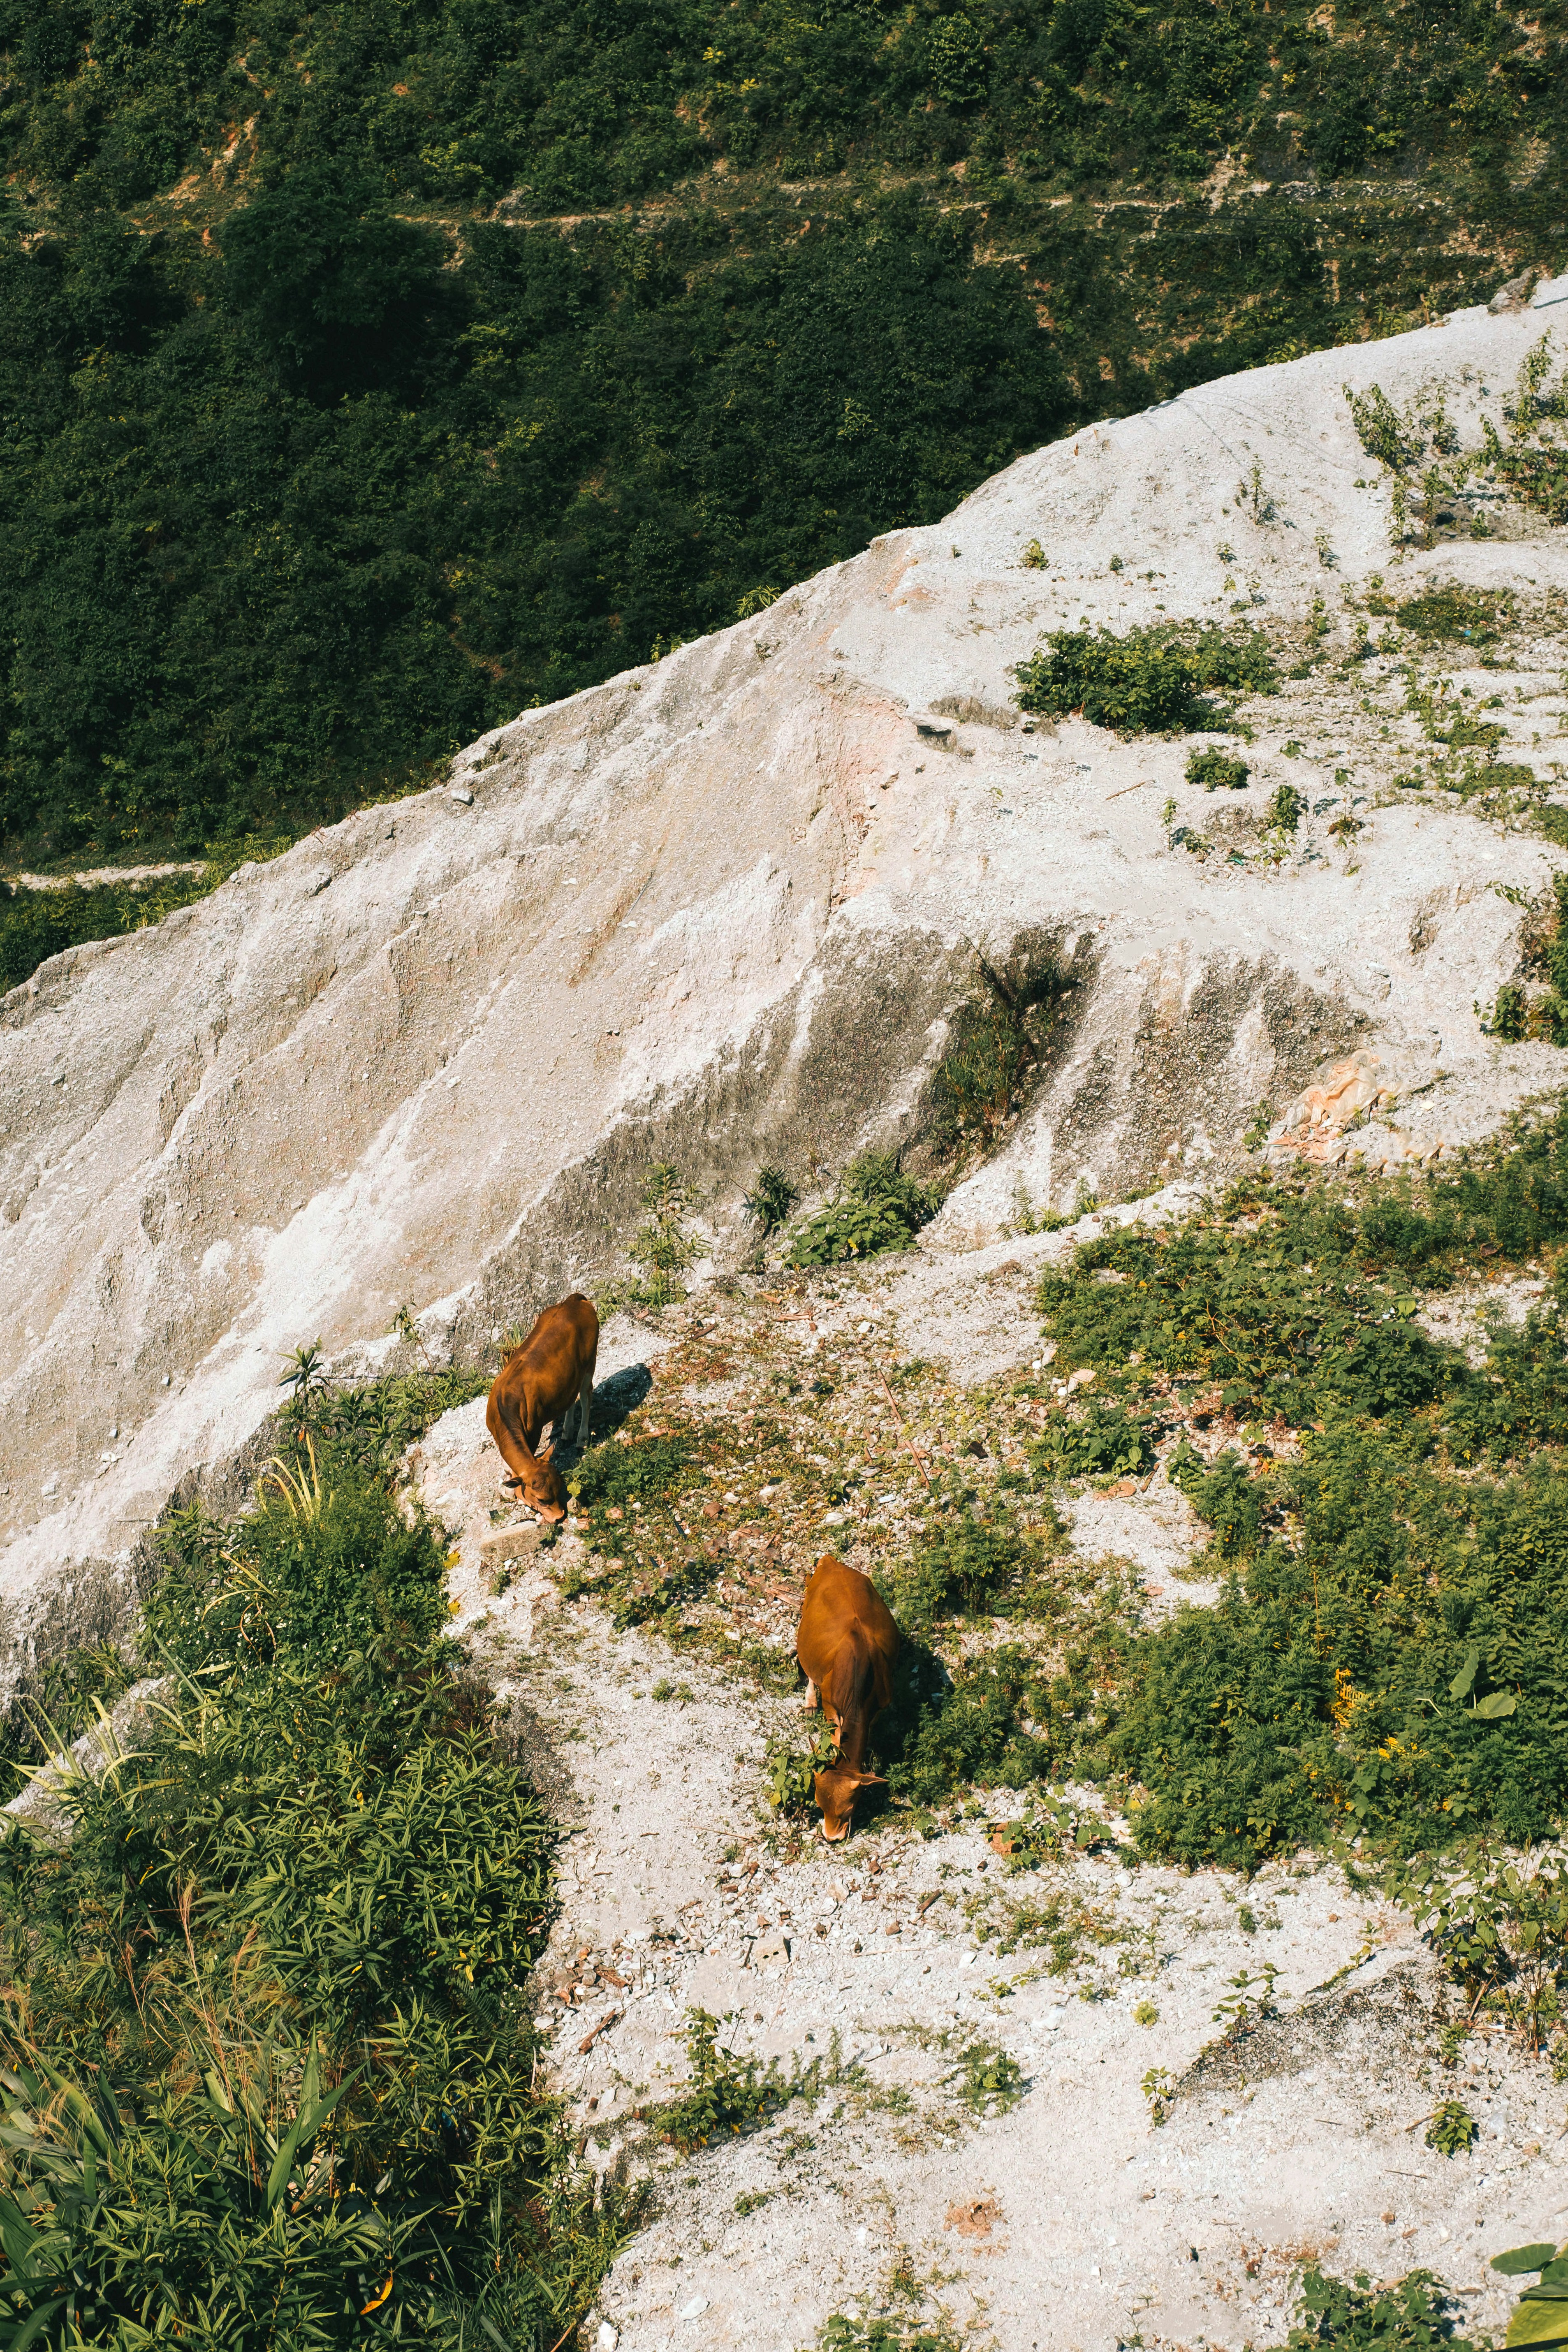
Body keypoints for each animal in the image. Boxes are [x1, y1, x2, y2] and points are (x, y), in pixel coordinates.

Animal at [486, 1294, 599, 1524]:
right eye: (542, 1499)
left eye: (560, 1489)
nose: (560, 1517)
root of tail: (574, 1300)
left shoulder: (534, 1430)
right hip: (570, 1375)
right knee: (572, 1398)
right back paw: (566, 1432)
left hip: (590, 1360)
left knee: (586, 1396)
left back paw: (582, 1438)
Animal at [795, 1553, 900, 1841]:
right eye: (818, 1804)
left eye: (850, 1808)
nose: (831, 1838)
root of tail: (830, 1562)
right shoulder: (832, 1705)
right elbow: (834, 1735)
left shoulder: (880, 1706)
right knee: (810, 1670)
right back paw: (810, 1703)